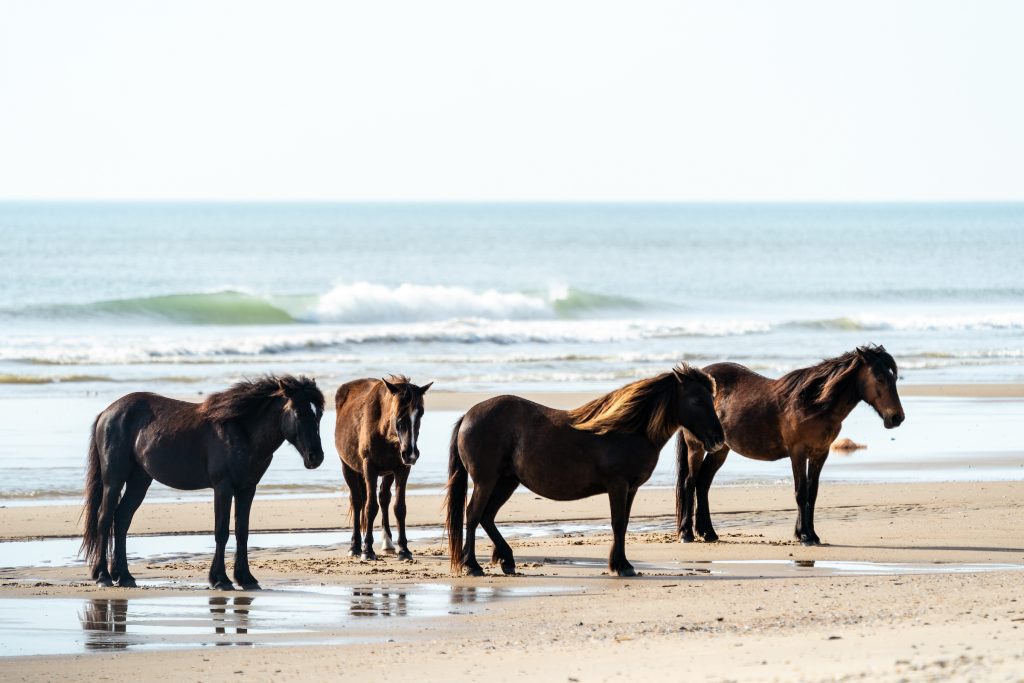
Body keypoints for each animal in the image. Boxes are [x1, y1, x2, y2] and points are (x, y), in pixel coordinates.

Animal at [81, 375, 325, 589]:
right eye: (298, 412)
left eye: (319, 414)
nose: (316, 457)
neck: (242, 430)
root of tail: (107, 412)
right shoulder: (223, 487)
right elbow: (221, 531)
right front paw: (220, 580)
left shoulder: (247, 489)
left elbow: (242, 532)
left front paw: (246, 578)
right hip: (114, 480)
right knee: (105, 519)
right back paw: (103, 576)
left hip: (139, 481)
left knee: (121, 519)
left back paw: (124, 576)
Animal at [334, 376, 432, 561]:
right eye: (398, 414)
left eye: (421, 413)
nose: (411, 453)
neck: (383, 431)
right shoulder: (369, 468)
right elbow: (370, 507)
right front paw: (367, 550)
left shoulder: (402, 469)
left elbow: (399, 507)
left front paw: (404, 550)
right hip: (347, 468)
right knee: (357, 501)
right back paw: (355, 547)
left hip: (388, 473)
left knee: (384, 498)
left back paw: (387, 543)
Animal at [446, 365, 724, 577]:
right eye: (697, 400)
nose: (718, 438)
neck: (628, 430)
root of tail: (468, 416)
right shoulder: (618, 485)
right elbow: (617, 522)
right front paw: (622, 566)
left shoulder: (631, 488)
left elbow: (623, 523)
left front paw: (620, 563)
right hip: (486, 481)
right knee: (473, 515)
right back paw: (472, 566)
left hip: (506, 482)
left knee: (487, 516)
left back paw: (507, 560)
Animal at [676, 345, 905, 546]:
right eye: (879, 378)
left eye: (894, 378)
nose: (897, 418)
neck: (813, 403)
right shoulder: (798, 453)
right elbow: (800, 492)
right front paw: (805, 536)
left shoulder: (820, 453)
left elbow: (812, 493)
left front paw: (810, 534)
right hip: (696, 447)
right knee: (689, 483)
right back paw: (687, 534)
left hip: (720, 449)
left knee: (703, 483)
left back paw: (708, 533)